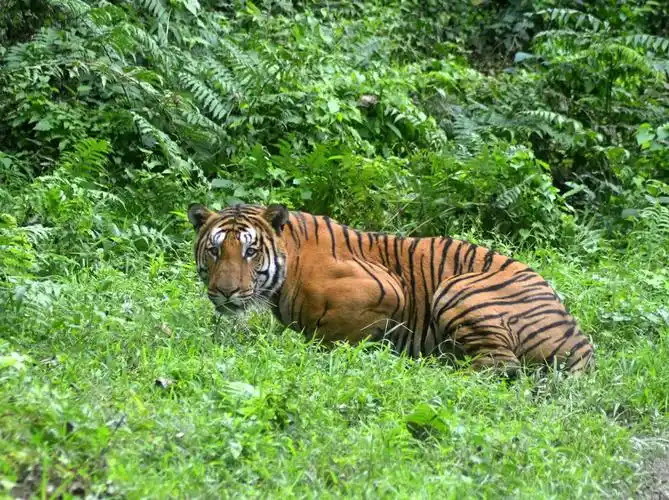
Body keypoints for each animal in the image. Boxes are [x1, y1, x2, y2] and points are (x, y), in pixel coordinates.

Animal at [187, 202, 595, 375]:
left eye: (250, 251)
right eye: (215, 250)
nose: (224, 291)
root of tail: (580, 342)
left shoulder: (386, 289)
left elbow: (334, 335)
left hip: (457, 288)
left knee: (499, 365)